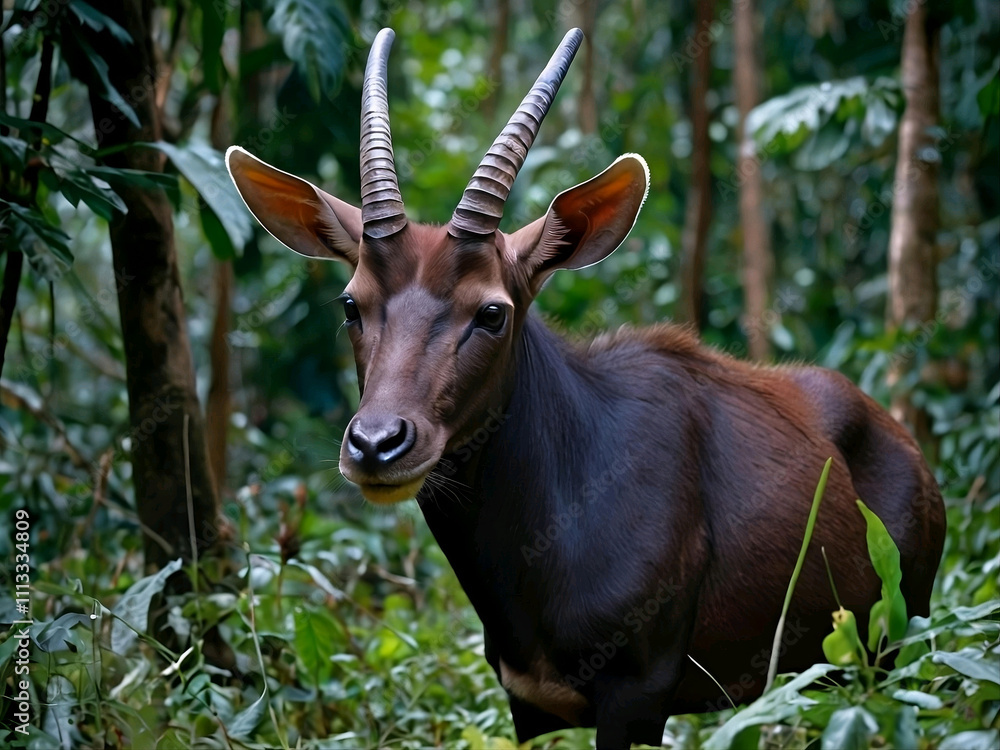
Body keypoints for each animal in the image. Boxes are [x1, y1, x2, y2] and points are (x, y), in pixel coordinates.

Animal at [227, 28, 946, 749]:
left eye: (492, 311)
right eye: (352, 304)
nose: (378, 444)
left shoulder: (640, 694)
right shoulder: (525, 703)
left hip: (888, 643)